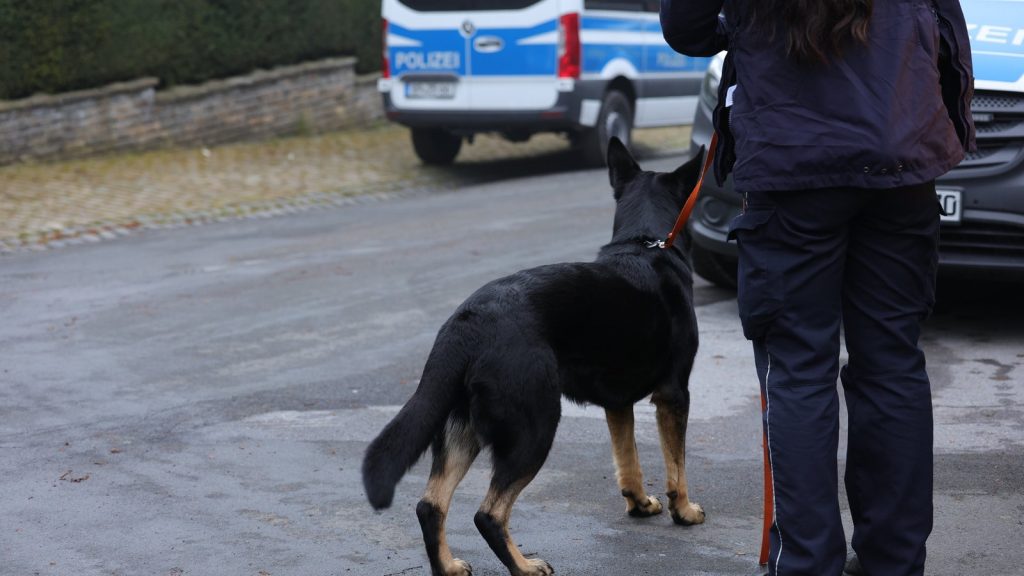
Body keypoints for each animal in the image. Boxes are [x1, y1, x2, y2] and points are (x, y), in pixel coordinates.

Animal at [360, 139, 704, 573]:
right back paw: (523, 565)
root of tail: (467, 324)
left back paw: (449, 566)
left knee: (430, 505)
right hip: (535, 427)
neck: (644, 243)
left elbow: (629, 460)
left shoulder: (617, 404)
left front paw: (640, 504)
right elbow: (677, 465)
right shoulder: (674, 395)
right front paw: (685, 511)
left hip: (462, 430)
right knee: (489, 513)